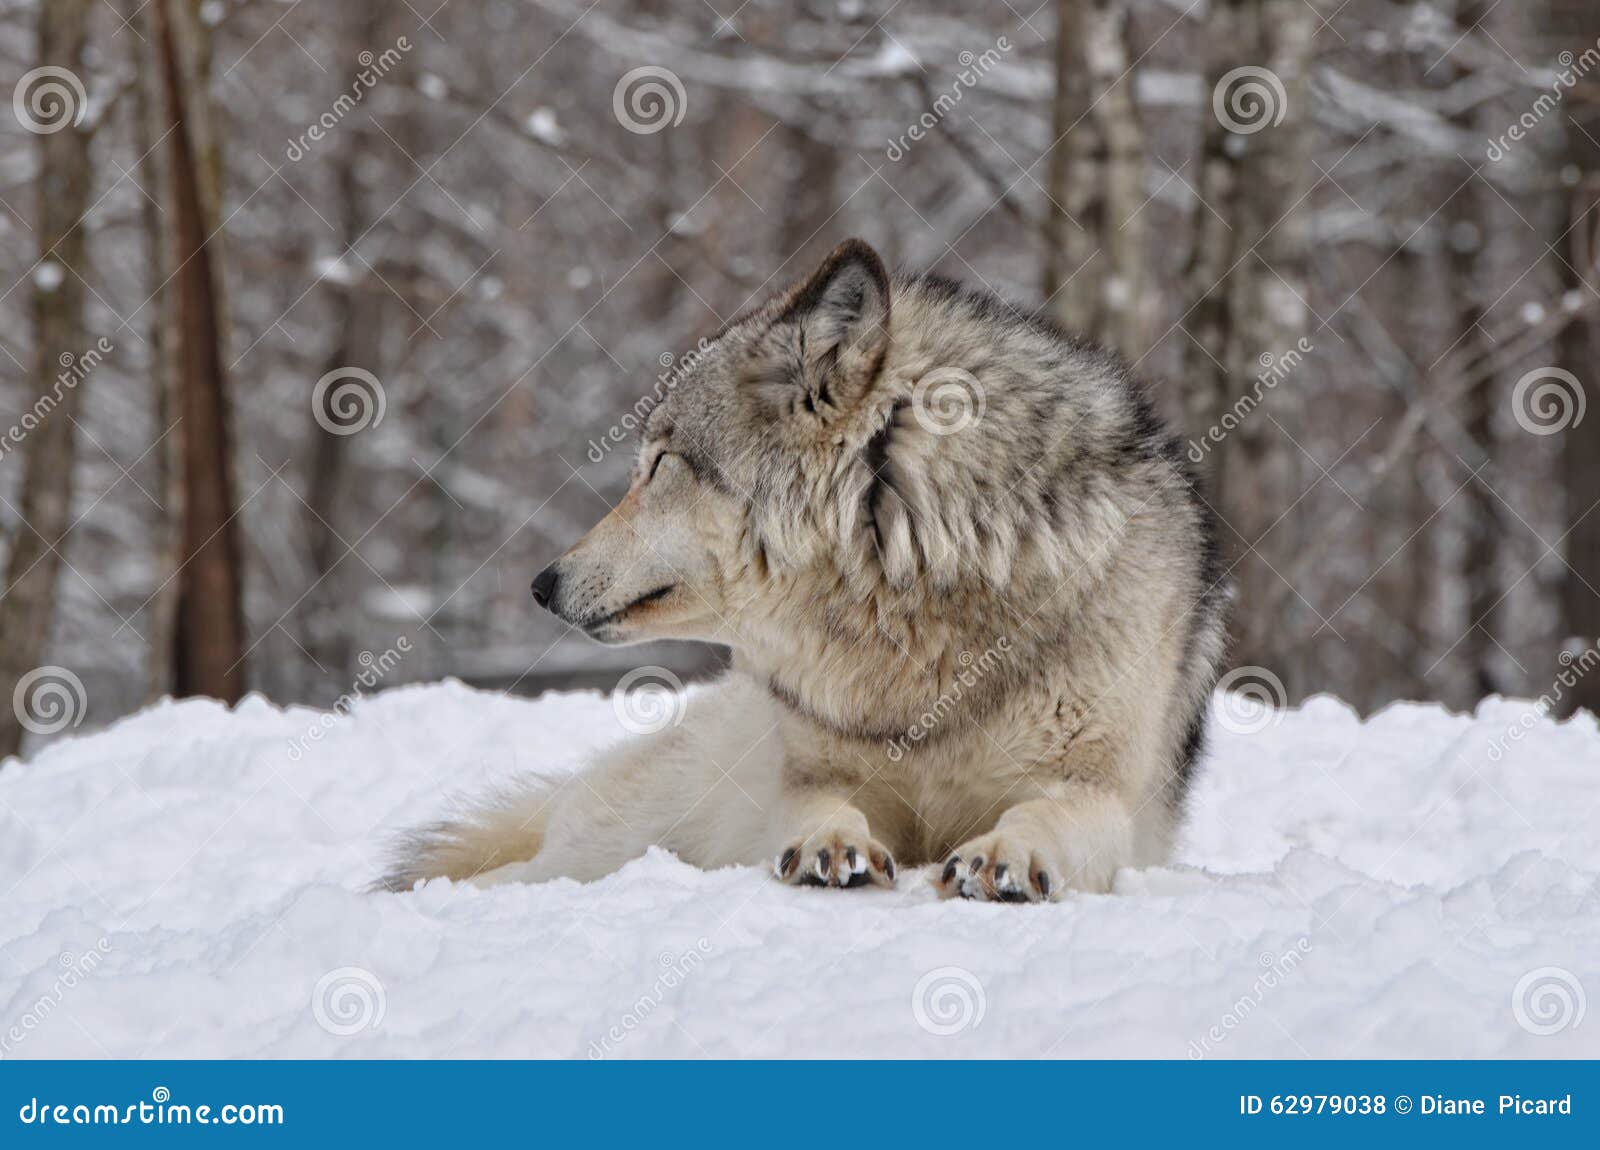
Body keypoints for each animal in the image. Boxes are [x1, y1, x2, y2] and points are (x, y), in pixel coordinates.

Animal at [380, 239, 1228, 902]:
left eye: (660, 465)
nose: (541, 584)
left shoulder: (1100, 794)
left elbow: (1044, 814)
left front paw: (1006, 855)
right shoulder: (815, 778)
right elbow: (822, 811)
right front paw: (831, 849)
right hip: (631, 833)